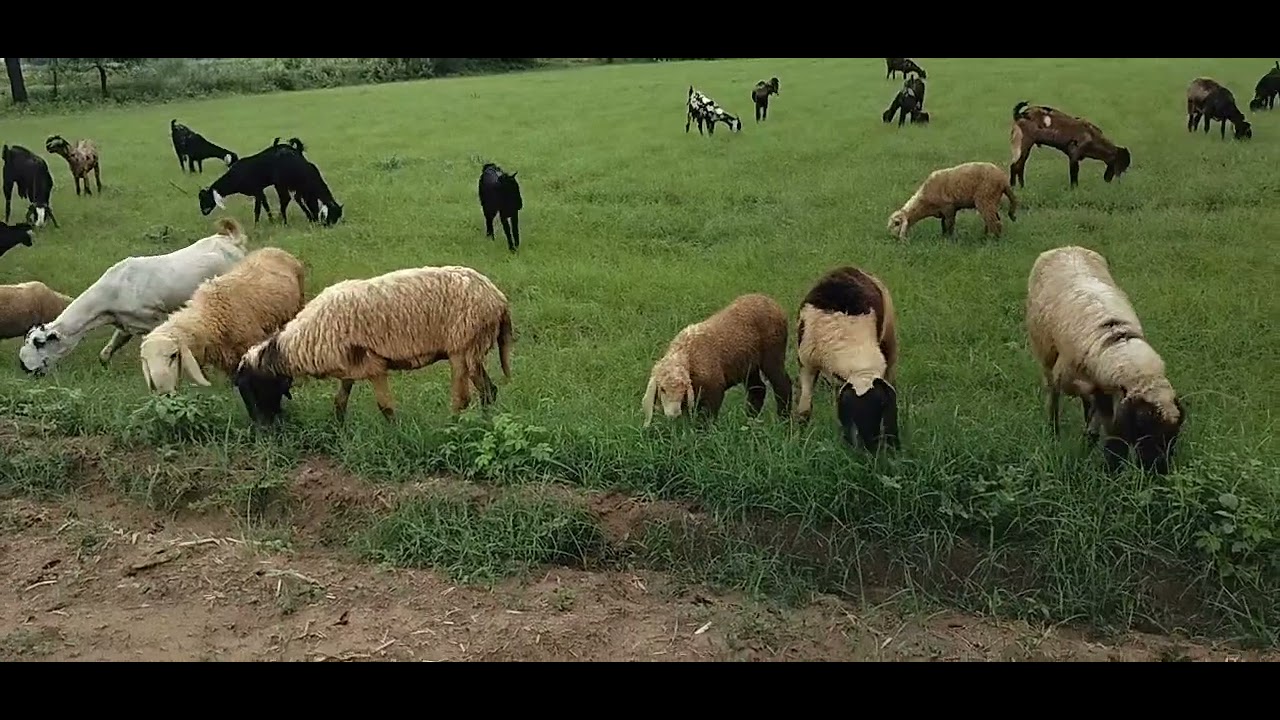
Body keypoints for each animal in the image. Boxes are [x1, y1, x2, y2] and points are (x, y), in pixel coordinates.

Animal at [18, 218, 249, 376]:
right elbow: (107, 352)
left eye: (39, 343)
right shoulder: (126, 325)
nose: (23, 366)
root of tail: (231, 240)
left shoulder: (156, 319)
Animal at [233, 265, 514, 426]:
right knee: (488, 391)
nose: (263, 429)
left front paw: (395, 434)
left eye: (253, 388)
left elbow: (386, 407)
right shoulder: (350, 366)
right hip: (472, 350)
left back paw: (453, 427)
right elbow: (340, 400)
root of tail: (499, 299)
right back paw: (486, 422)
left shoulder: (373, 365)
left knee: (463, 398)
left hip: (462, 346)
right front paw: (338, 430)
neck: (301, 342)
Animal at [641, 293, 792, 427]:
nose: (674, 415)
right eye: (662, 389)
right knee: (758, 389)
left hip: (773, 352)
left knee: (783, 384)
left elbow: (707, 417)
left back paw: (783, 419)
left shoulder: (714, 388)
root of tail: (772, 302)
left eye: (683, 389)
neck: (689, 354)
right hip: (748, 363)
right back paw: (749, 420)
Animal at [886, 161, 1017, 241]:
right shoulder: (943, 211)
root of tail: (1004, 180)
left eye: (897, 223)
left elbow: (949, 225)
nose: (892, 238)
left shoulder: (949, 208)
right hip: (992, 200)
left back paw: (992, 241)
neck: (924, 203)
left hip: (985, 198)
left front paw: (949, 240)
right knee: (992, 220)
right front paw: (943, 237)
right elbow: (943, 225)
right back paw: (985, 236)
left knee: (995, 222)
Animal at [1026, 245, 1186, 475]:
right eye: (1145, 430)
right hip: (1045, 359)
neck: (1113, 342)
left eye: (1174, 436)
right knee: (1052, 397)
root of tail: (1066, 247)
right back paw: (1053, 430)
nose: (1158, 472)